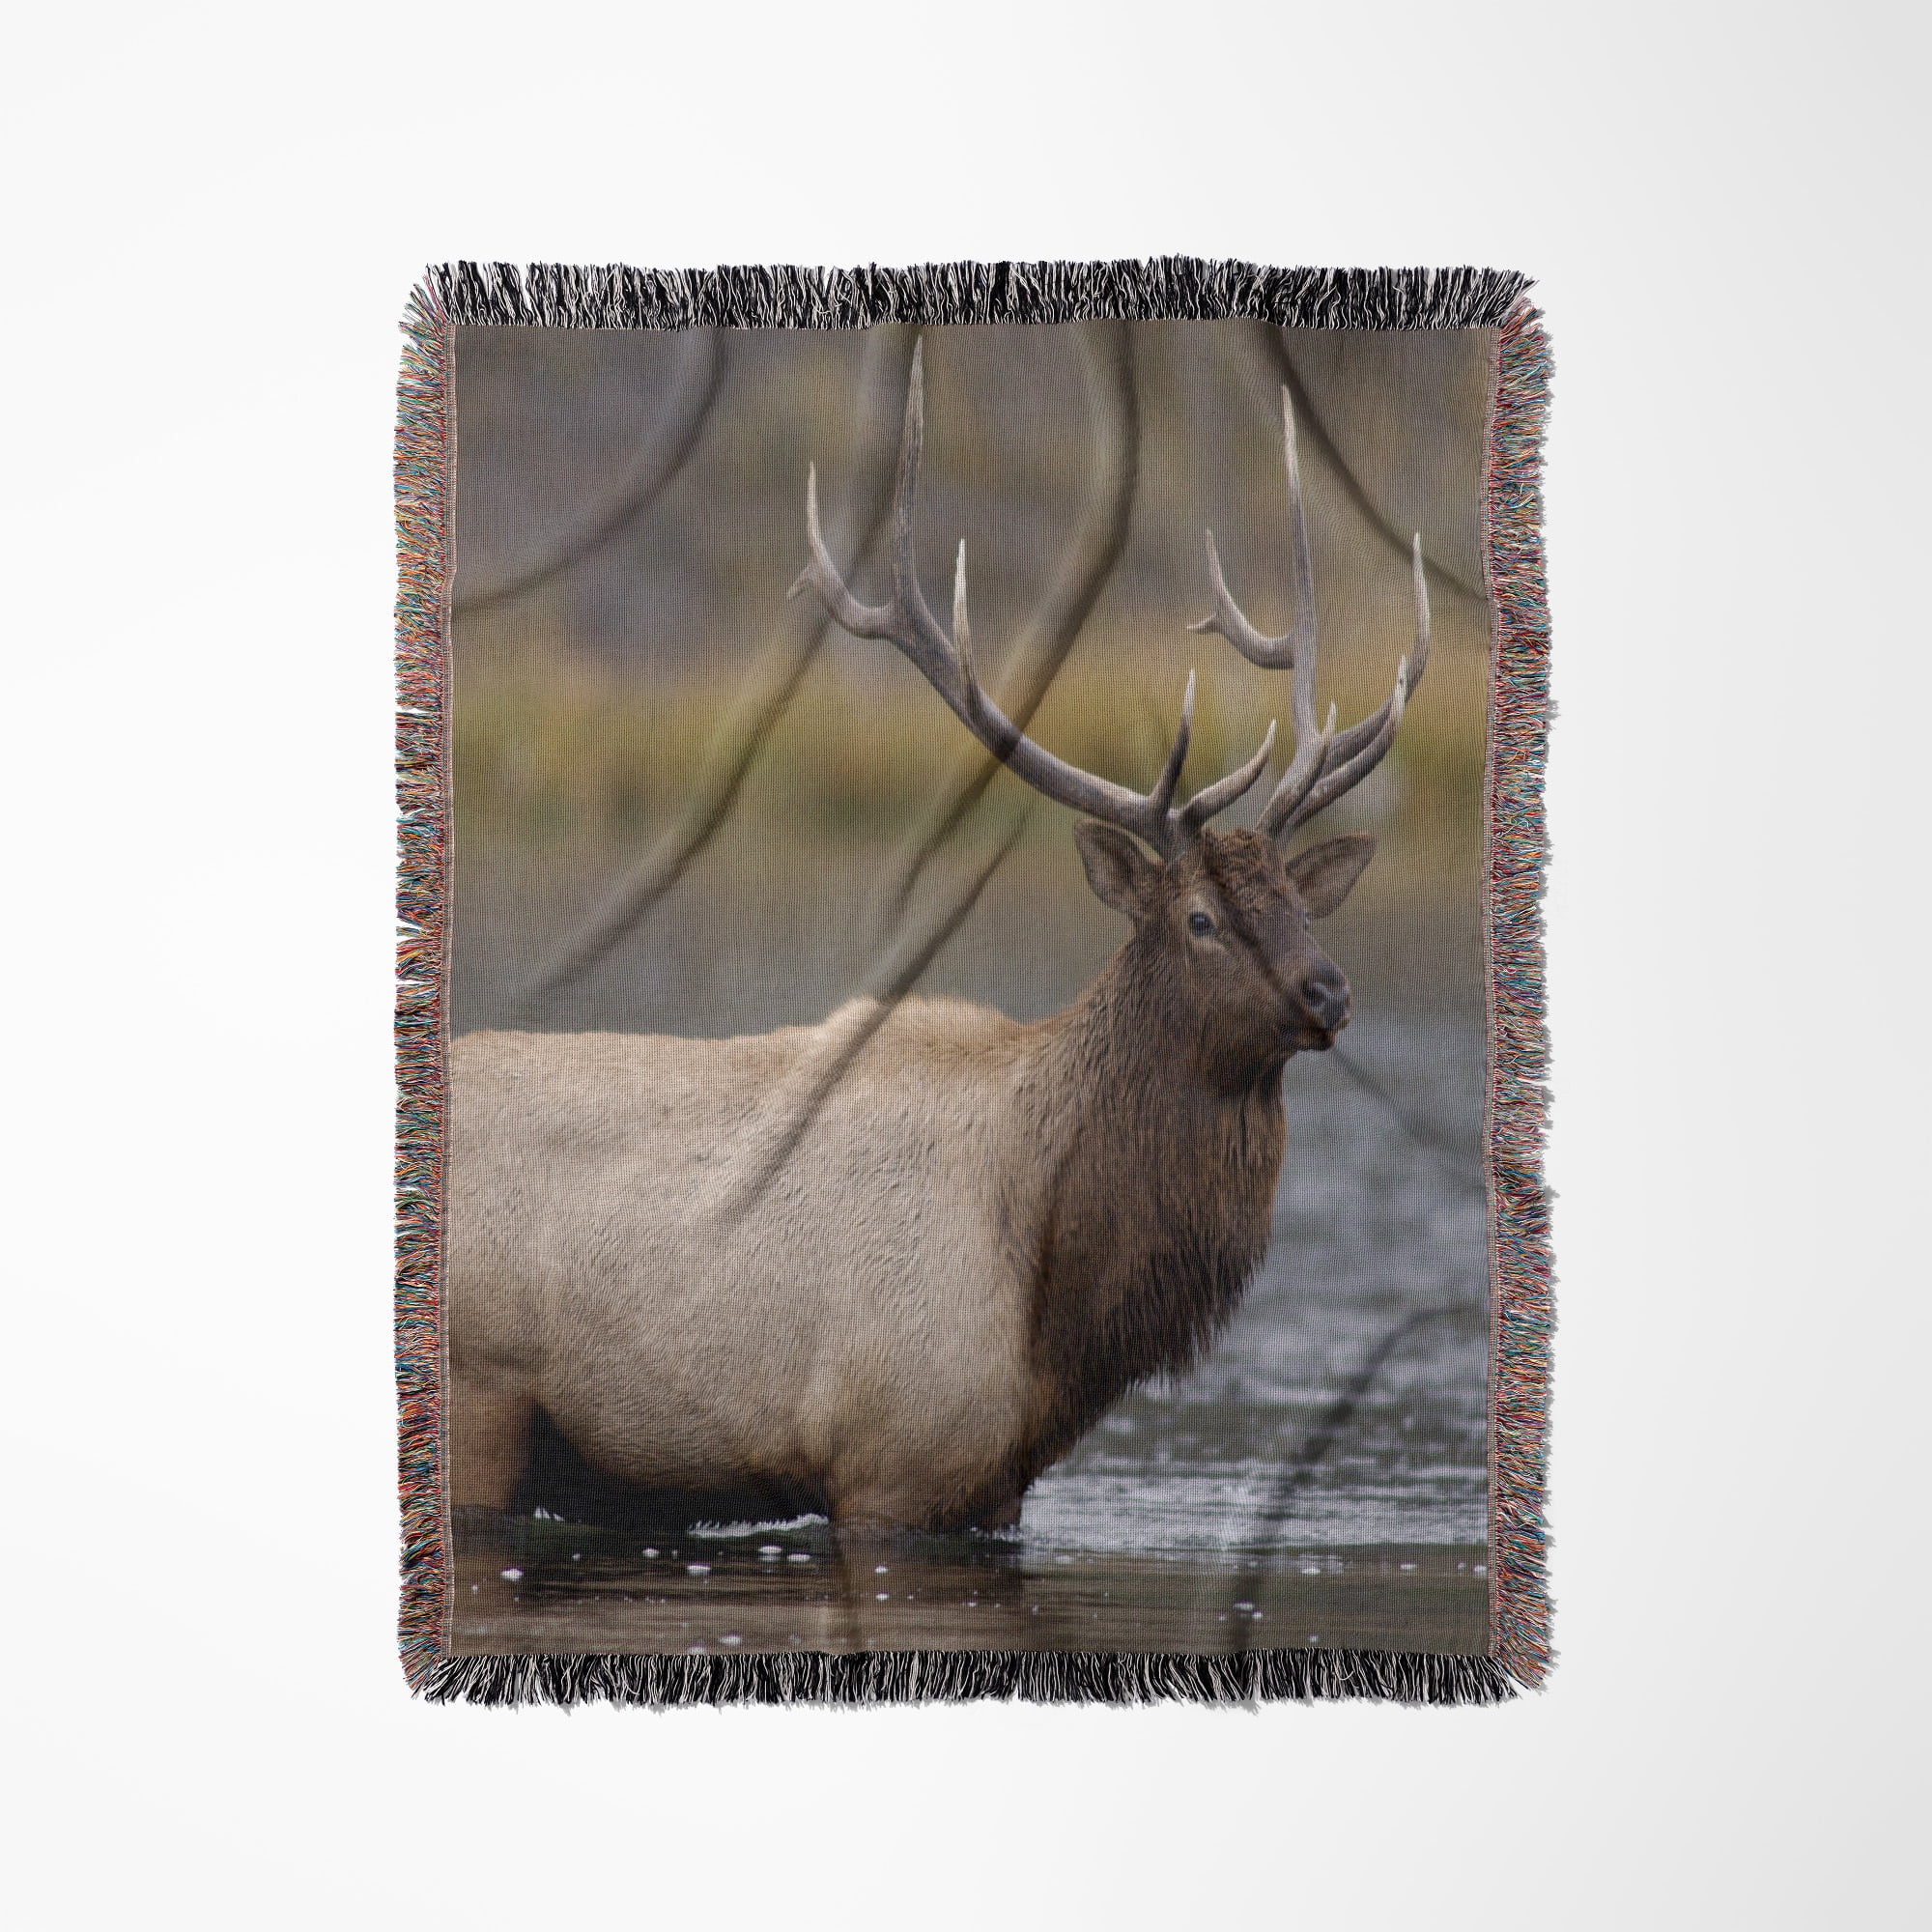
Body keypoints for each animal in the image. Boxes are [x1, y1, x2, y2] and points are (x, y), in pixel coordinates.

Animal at [447, 341, 1430, 1538]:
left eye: (1299, 899)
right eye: (1198, 917)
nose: (1328, 991)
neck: (1057, 1315)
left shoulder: (988, 1488)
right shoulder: (890, 1461)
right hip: (477, 1394)